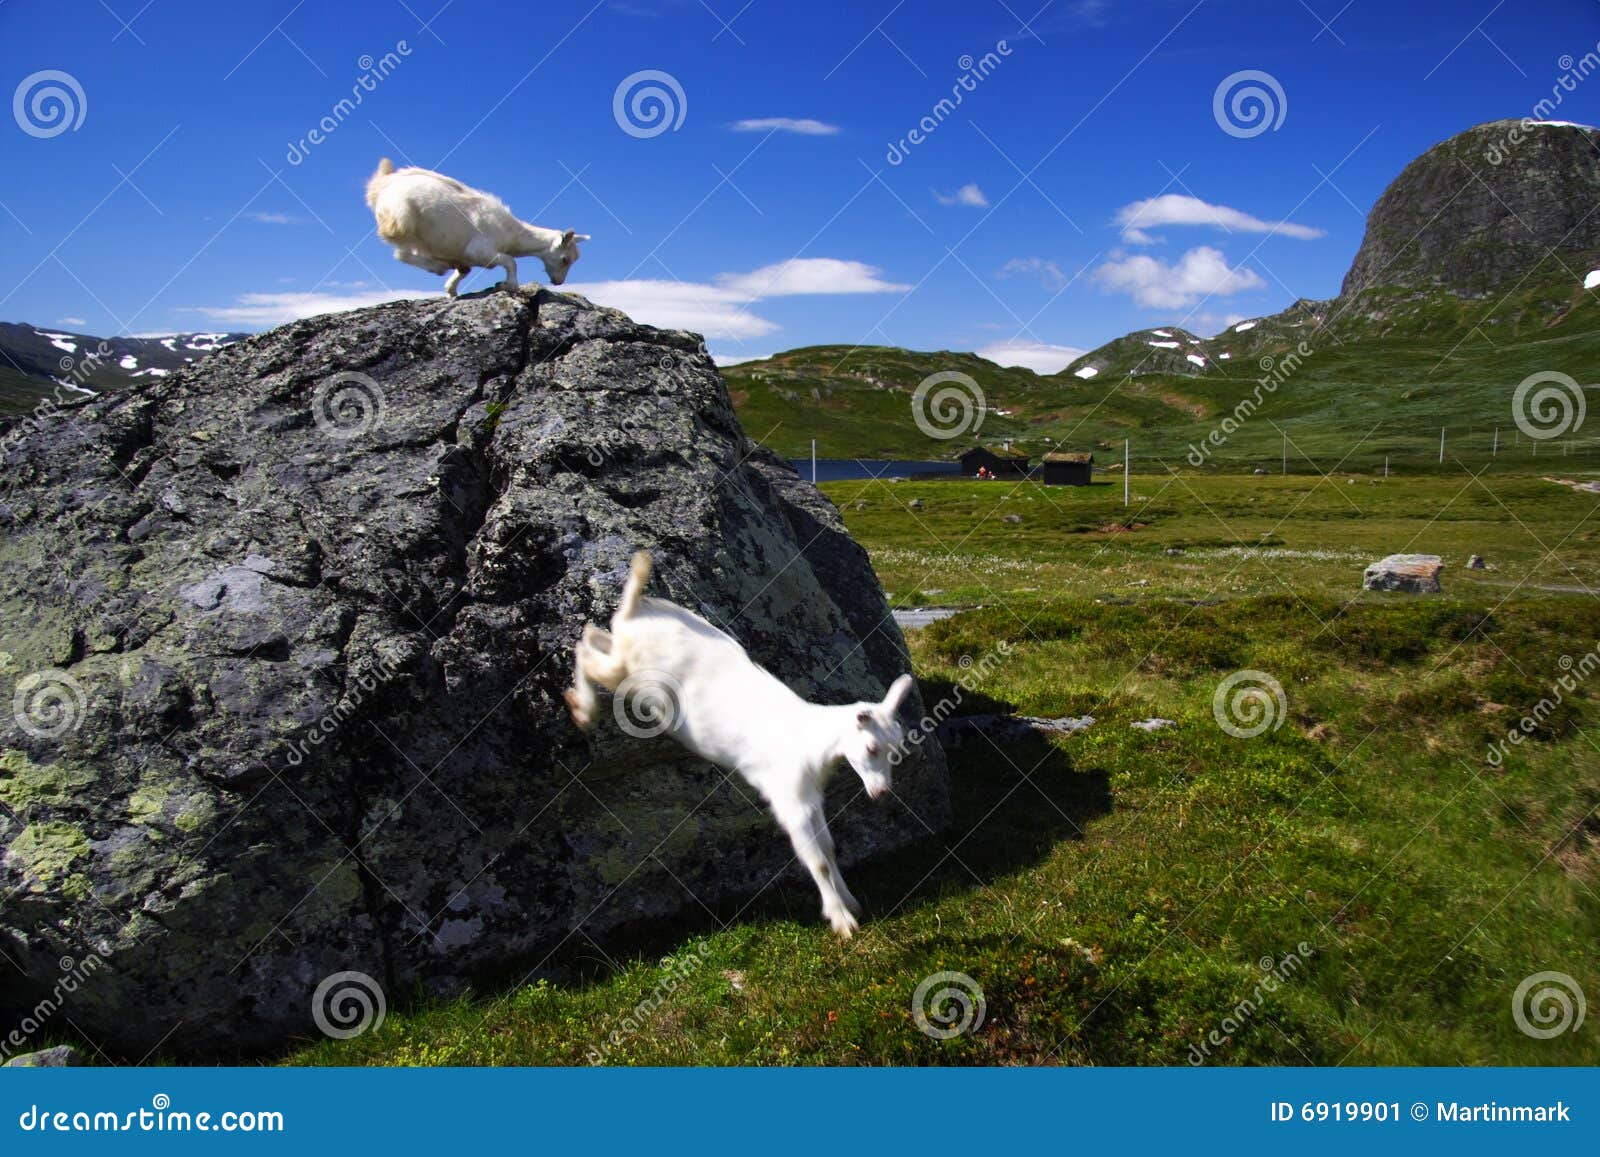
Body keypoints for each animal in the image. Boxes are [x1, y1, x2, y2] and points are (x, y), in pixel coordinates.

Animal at [365, 158, 590, 297]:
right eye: (565, 259)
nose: (558, 282)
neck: (513, 234)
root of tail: (381, 186)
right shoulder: (481, 251)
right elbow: (510, 262)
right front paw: (508, 285)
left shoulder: (464, 255)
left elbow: (465, 269)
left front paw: (451, 290)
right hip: (402, 220)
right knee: (401, 253)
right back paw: (437, 266)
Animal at [565, 551, 914, 938]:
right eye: (871, 749)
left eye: (898, 752)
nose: (881, 792)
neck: (811, 739)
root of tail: (635, 610)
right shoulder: (788, 798)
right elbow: (817, 860)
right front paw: (841, 920)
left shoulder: (811, 797)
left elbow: (829, 848)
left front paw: (849, 901)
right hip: (631, 671)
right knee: (587, 650)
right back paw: (583, 708)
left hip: (623, 654)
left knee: (594, 635)